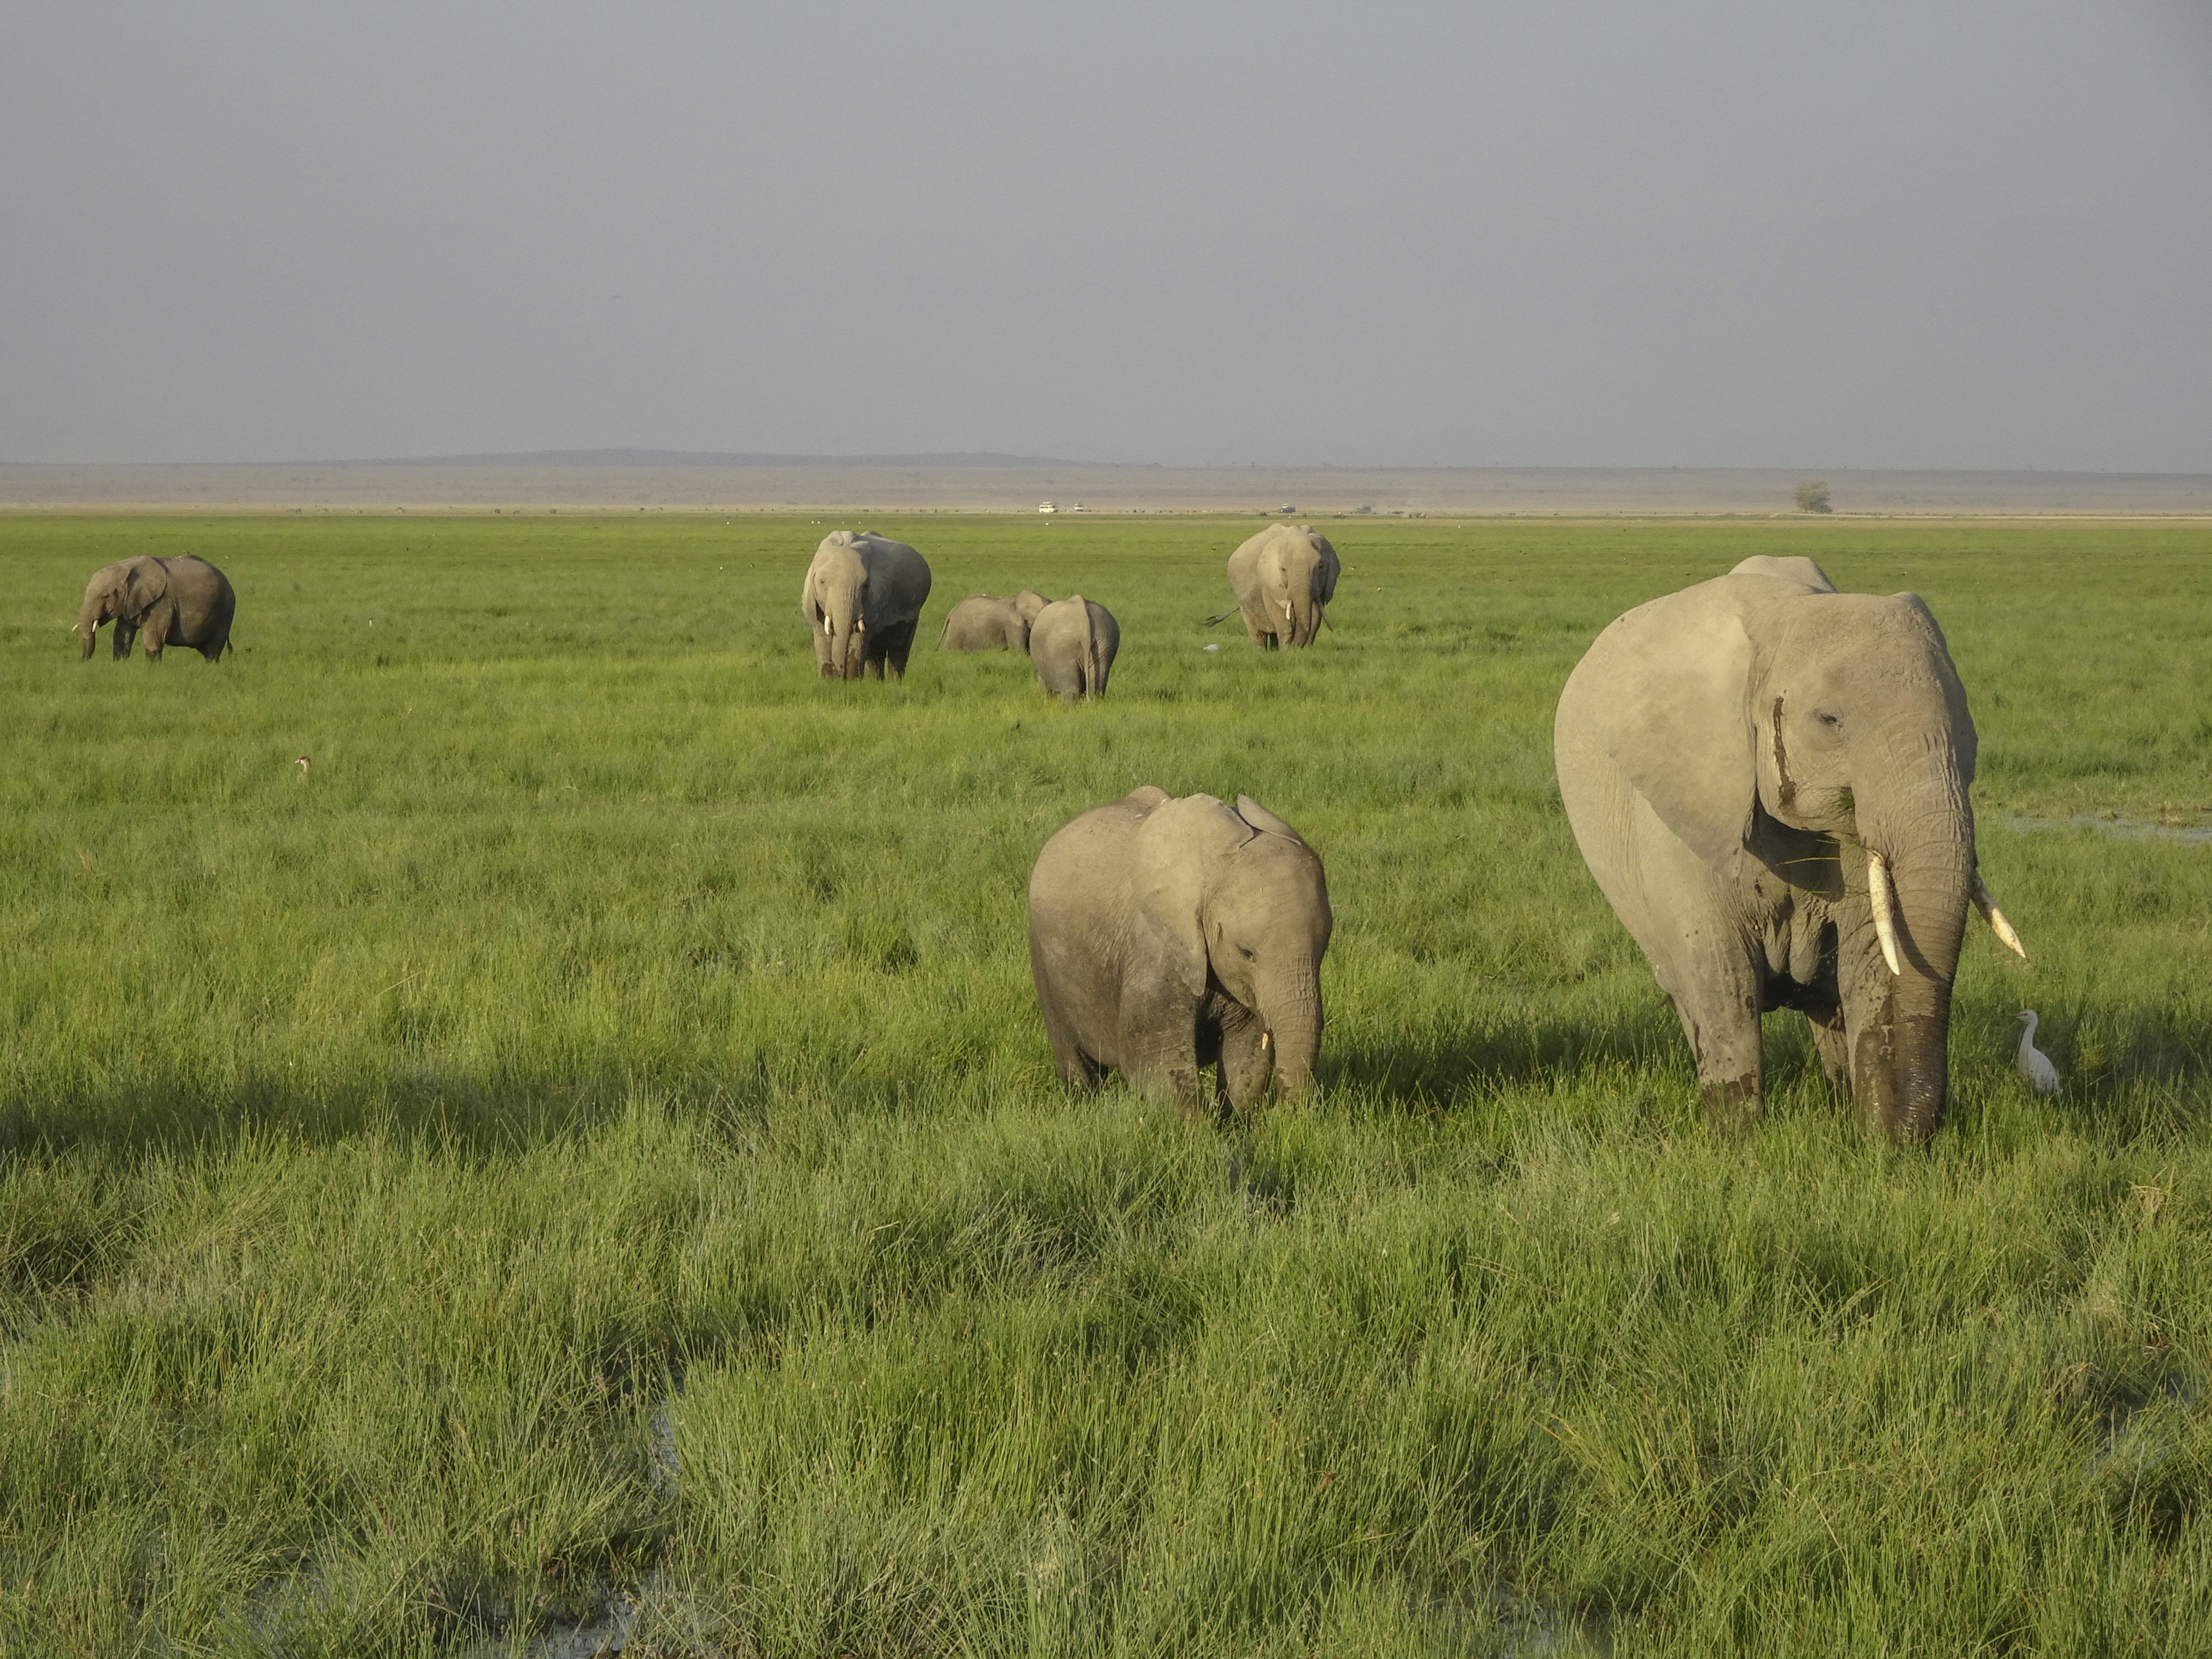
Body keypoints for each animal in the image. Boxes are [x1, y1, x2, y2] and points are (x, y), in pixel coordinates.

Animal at [75, 555, 236, 662]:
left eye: (106, 596)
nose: (82, 663)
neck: (127, 567)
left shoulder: (162, 603)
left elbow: (154, 638)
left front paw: (152, 670)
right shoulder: (130, 603)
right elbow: (122, 635)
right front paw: (120, 664)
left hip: (226, 610)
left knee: (213, 650)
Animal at [800, 531, 933, 680]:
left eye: (866, 586)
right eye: (822, 582)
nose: (834, 670)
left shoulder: (873, 602)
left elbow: (860, 637)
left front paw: (853, 682)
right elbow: (821, 633)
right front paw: (828, 680)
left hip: (913, 613)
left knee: (899, 650)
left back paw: (895, 682)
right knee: (876, 656)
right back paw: (878, 681)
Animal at [1028, 787, 1333, 1115]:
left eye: (1322, 951)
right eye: (1246, 953)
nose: (1288, 1111)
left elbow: (1245, 1053)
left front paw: (1232, 1123)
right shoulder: (1156, 949)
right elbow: (1157, 1057)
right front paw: (1199, 1129)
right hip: (1044, 958)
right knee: (1076, 1062)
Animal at [1208, 524, 1339, 649]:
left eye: (1321, 566)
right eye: (1283, 569)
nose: (1296, 646)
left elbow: (1316, 617)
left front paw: (1303, 650)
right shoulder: (1269, 584)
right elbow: (1283, 619)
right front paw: (1288, 651)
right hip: (1243, 601)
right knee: (1256, 632)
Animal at [1553, 554, 2029, 1140]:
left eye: (1967, 727)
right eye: (1830, 721)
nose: (1916, 1132)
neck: (1785, 616)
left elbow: (1873, 964)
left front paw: (1877, 1141)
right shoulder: (1681, 810)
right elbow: (1723, 977)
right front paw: (1738, 1143)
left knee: (1827, 1005)